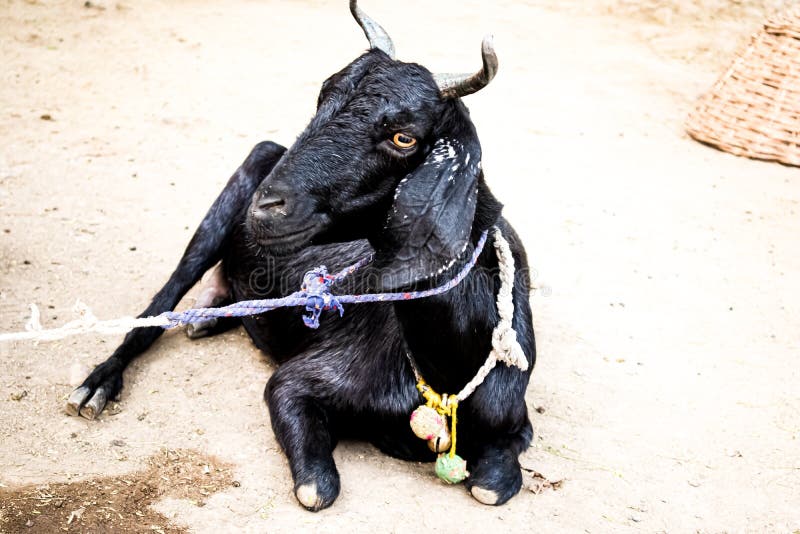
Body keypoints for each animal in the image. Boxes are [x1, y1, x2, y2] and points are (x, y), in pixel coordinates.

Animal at [66, 1, 536, 510]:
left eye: (404, 137)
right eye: (321, 97)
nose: (263, 208)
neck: (446, 367)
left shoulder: (517, 423)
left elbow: (490, 487)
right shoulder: (296, 383)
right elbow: (316, 489)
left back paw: (209, 315)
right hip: (225, 204)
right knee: (163, 300)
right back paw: (99, 383)